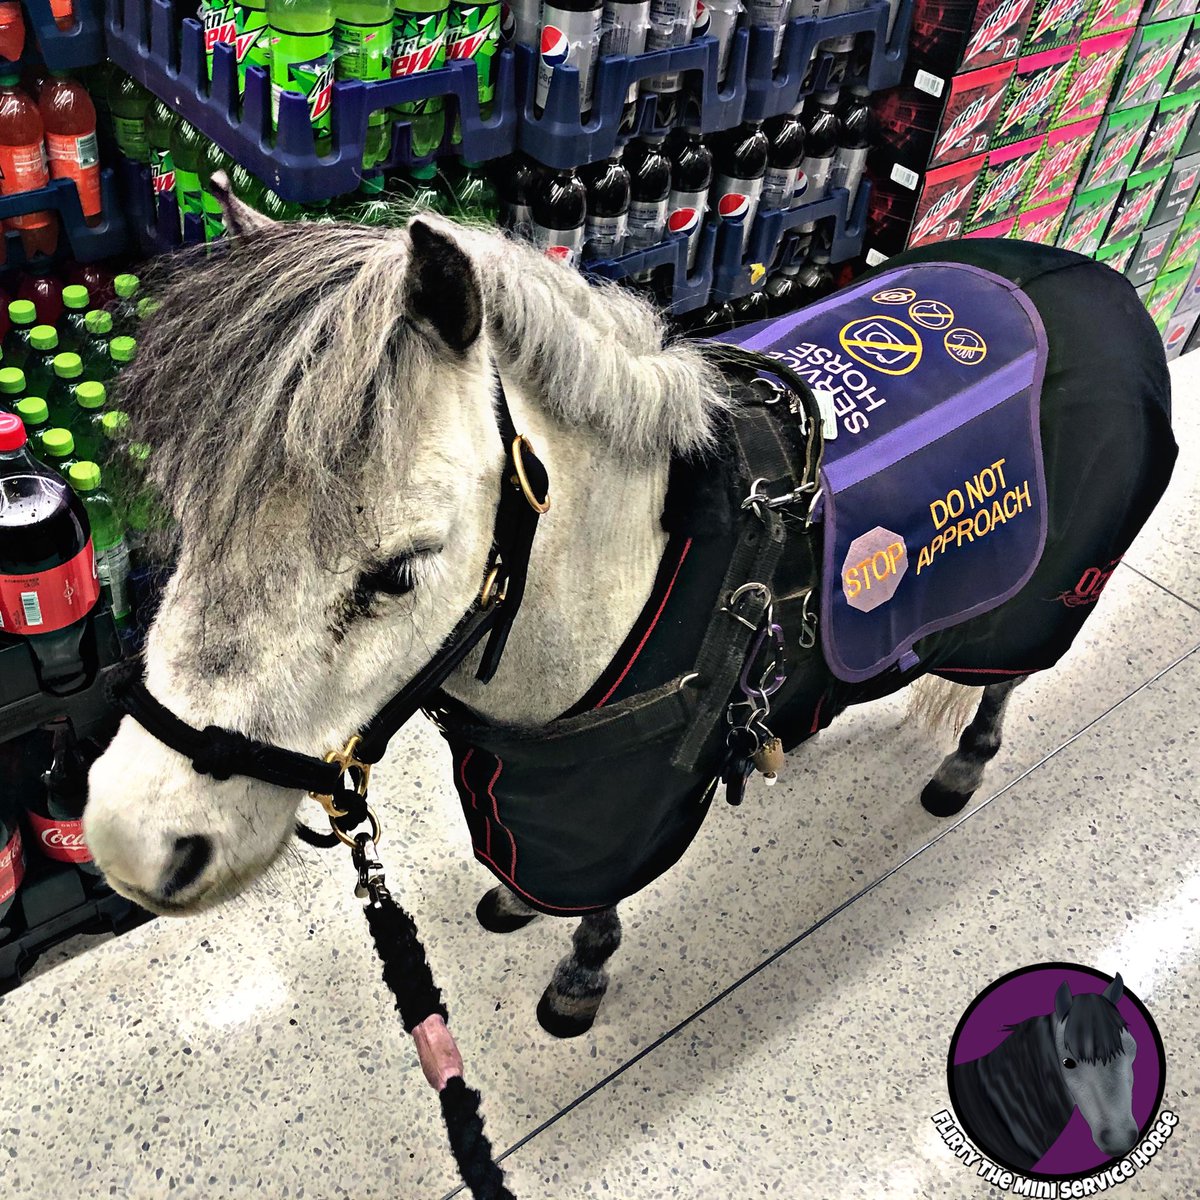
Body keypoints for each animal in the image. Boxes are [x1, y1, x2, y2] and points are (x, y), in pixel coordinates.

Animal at [82, 182, 1175, 1044]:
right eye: (187, 514)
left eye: (396, 574)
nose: (134, 844)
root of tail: (1102, 279)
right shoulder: (531, 797)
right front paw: (511, 904)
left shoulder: (620, 810)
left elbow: (598, 912)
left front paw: (579, 977)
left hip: (1044, 599)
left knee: (1003, 687)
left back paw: (964, 766)